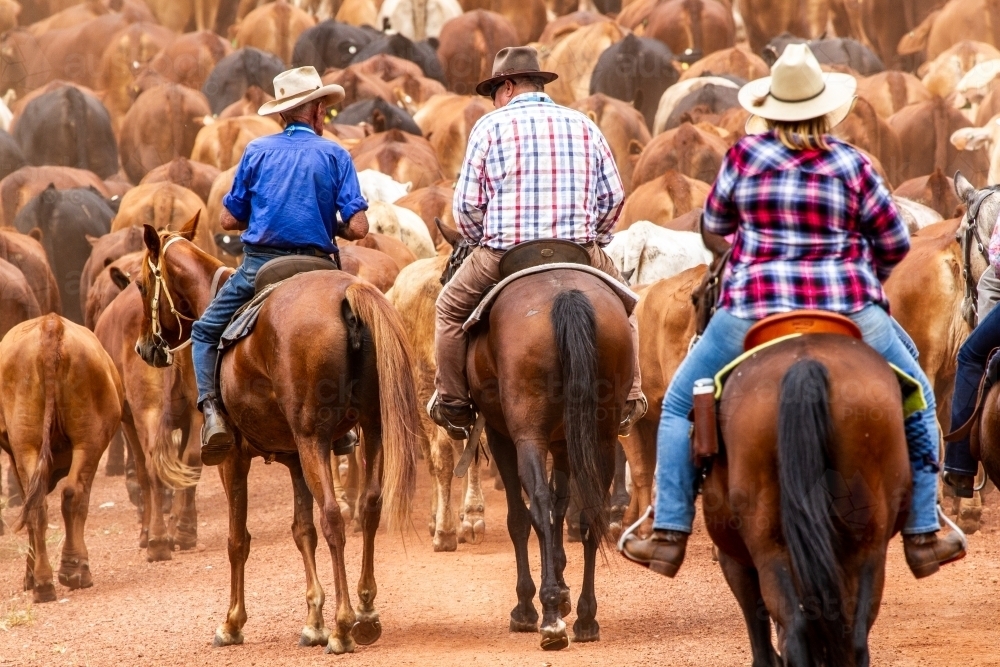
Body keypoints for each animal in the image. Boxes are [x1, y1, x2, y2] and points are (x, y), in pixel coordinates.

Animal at [0, 314, 123, 602]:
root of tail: (51, 324)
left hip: (29, 444)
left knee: (41, 504)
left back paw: (45, 581)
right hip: (88, 441)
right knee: (70, 495)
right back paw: (71, 572)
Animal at [133, 215, 421, 654]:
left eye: (140, 284)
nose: (144, 348)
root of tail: (347, 294)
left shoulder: (234, 459)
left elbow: (238, 540)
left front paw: (232, 623)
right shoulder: (293, 458)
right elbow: (303, 532)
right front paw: (313, 621)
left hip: (313, 440)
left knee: (334, 517)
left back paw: (344, 626)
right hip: (371, 430)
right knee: (369, 506)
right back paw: (367, 612)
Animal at [441, 232, 634, 650]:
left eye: (452, 264)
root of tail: (564, 294)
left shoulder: (500, 435)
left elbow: (521, 517)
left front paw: (531, 605)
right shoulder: (563, 442)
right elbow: (562, 505)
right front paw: (562, 589)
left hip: (527, 434)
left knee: (538, 504)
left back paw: (547, 618)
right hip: (601, 432)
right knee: (588, 507)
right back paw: (585, 618)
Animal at [704, 334, 912, 666]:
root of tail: (805, 364)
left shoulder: (733, 557)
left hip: (770, 546)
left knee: (797, 632)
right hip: (866, 544)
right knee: (853, 639)